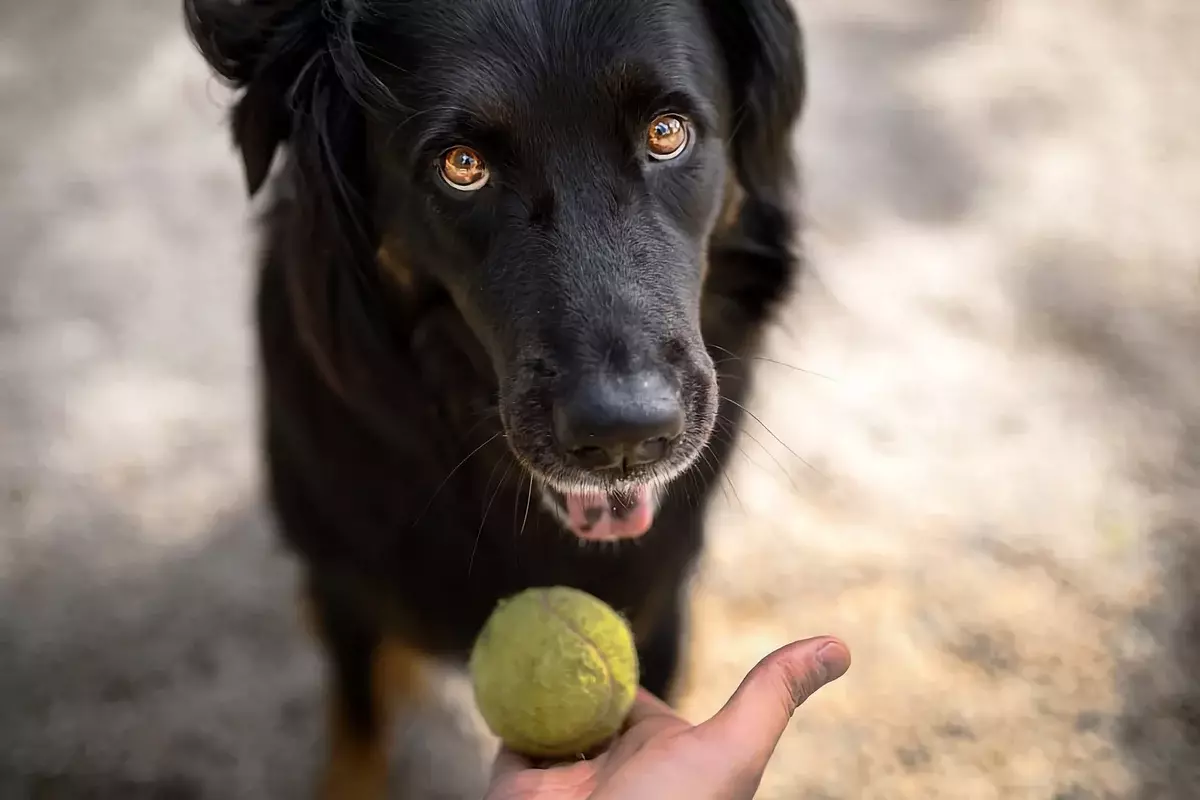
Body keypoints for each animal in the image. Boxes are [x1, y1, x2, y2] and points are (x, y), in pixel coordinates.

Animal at [184, 1, 806, 796]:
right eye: (462, 166)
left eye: (667, 133)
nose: (627, 436)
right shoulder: (342, 580)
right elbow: (356, 727)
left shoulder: (660, 594)